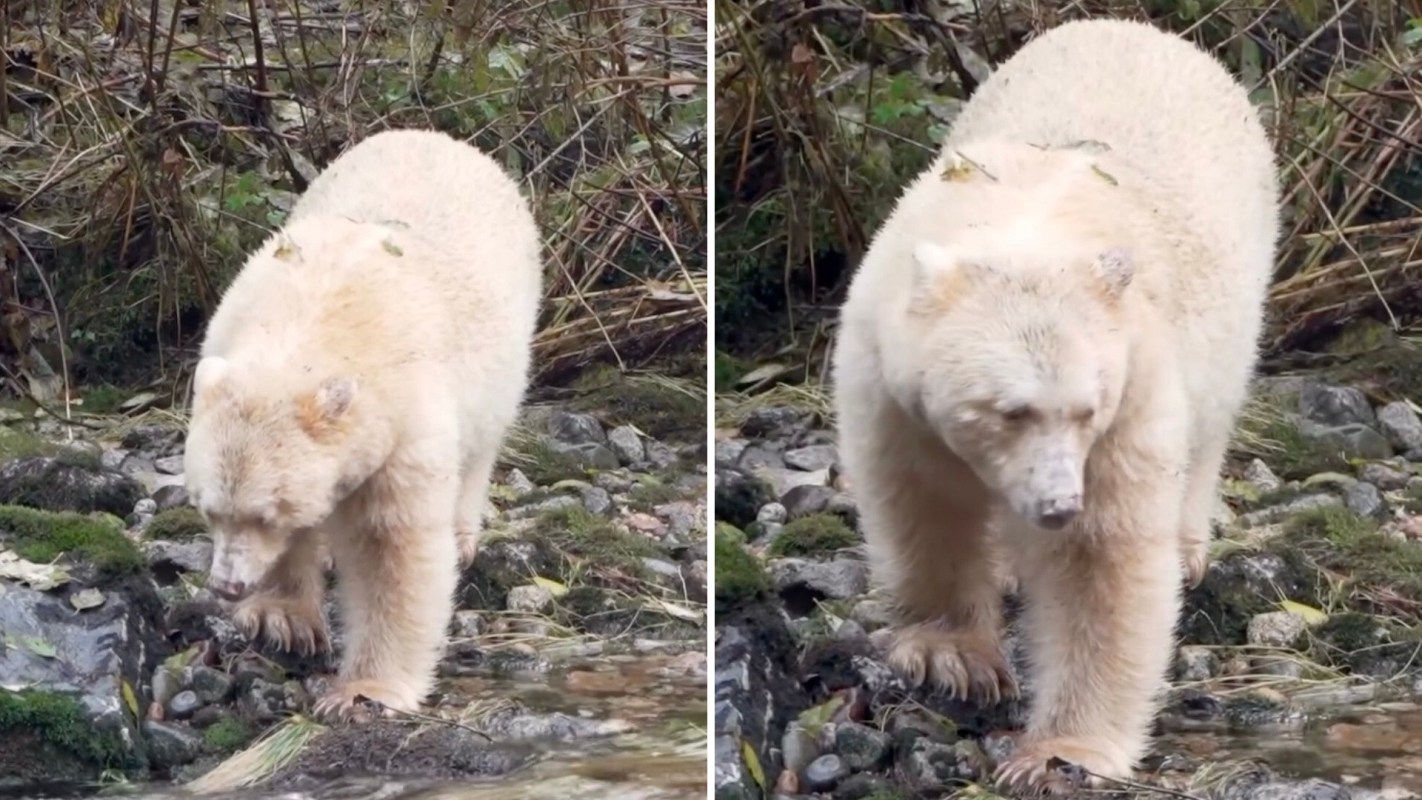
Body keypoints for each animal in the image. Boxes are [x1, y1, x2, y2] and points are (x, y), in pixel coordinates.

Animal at [183, 128, 544, 720]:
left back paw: (463, 533)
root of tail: (438, 136)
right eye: (208, 508)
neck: (314, 320)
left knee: (482, 443)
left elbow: (391, 550)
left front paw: (364, 690)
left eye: (266, 514)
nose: (229, 586)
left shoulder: (404, 422)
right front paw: (282, 619)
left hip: (508, 345)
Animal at [830, 18, 1278, 794]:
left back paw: (1188, 547)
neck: (1026, 226)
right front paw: (953, 658)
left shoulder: (1133, 388)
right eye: (1009, 410)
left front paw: (1060, 753)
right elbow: (922, 501)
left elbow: (1100, 564)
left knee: (1211, 423)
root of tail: (1141, 28)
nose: (1059, 502)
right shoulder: (888, 376)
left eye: (1086, 410)